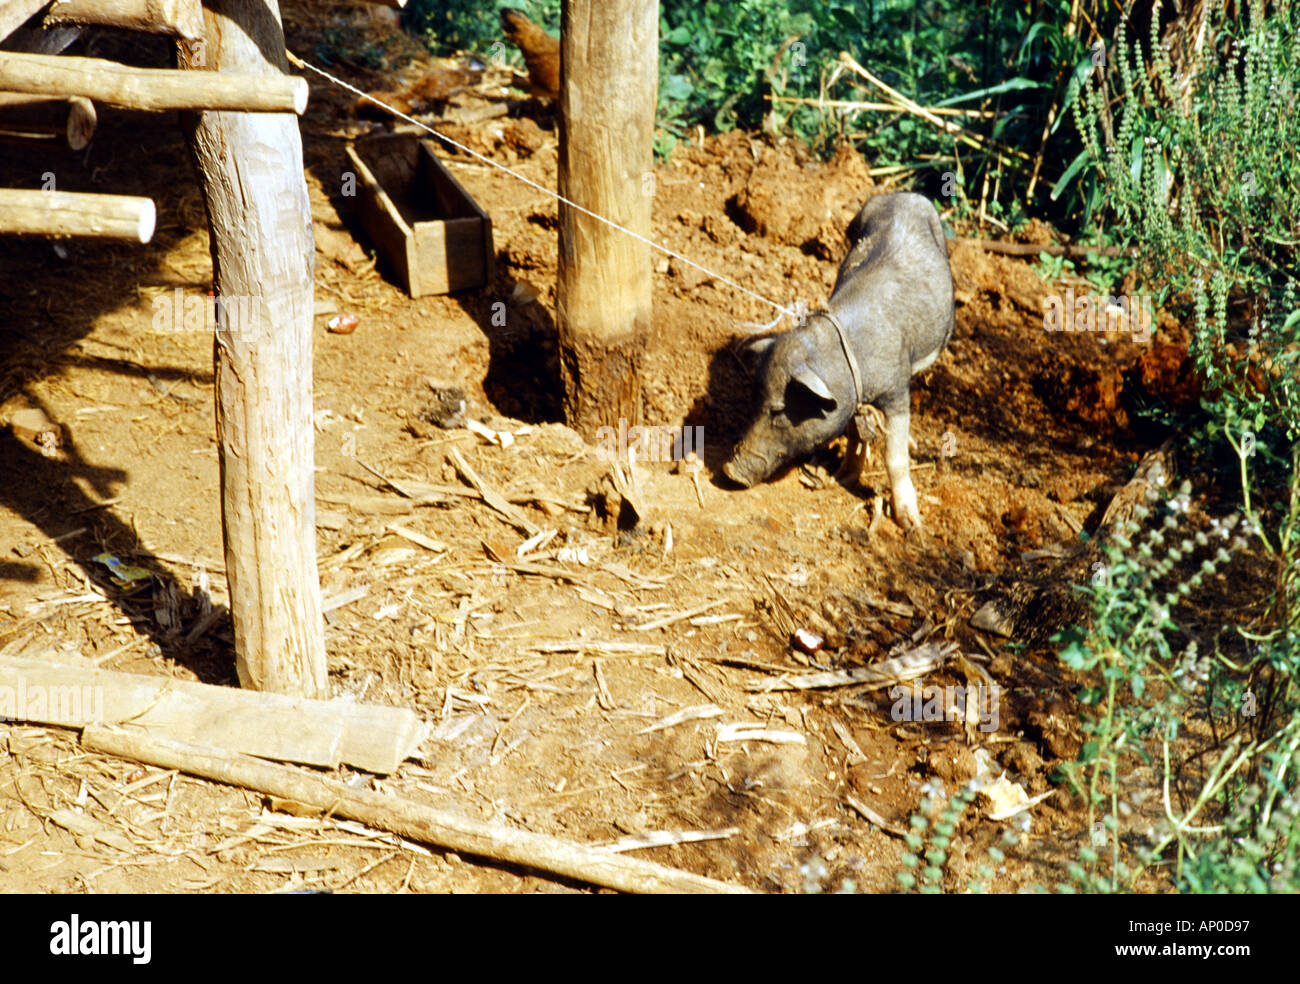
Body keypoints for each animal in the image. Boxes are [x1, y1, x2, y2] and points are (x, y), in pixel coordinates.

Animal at [723, 191, 954, 529]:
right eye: (752, 404)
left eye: (778, 411)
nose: (730, 473)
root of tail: (904, 194)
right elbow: (856, 433)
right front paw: (842, 476)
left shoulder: (896, 387)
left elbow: (894, 456)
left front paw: (911, 525)